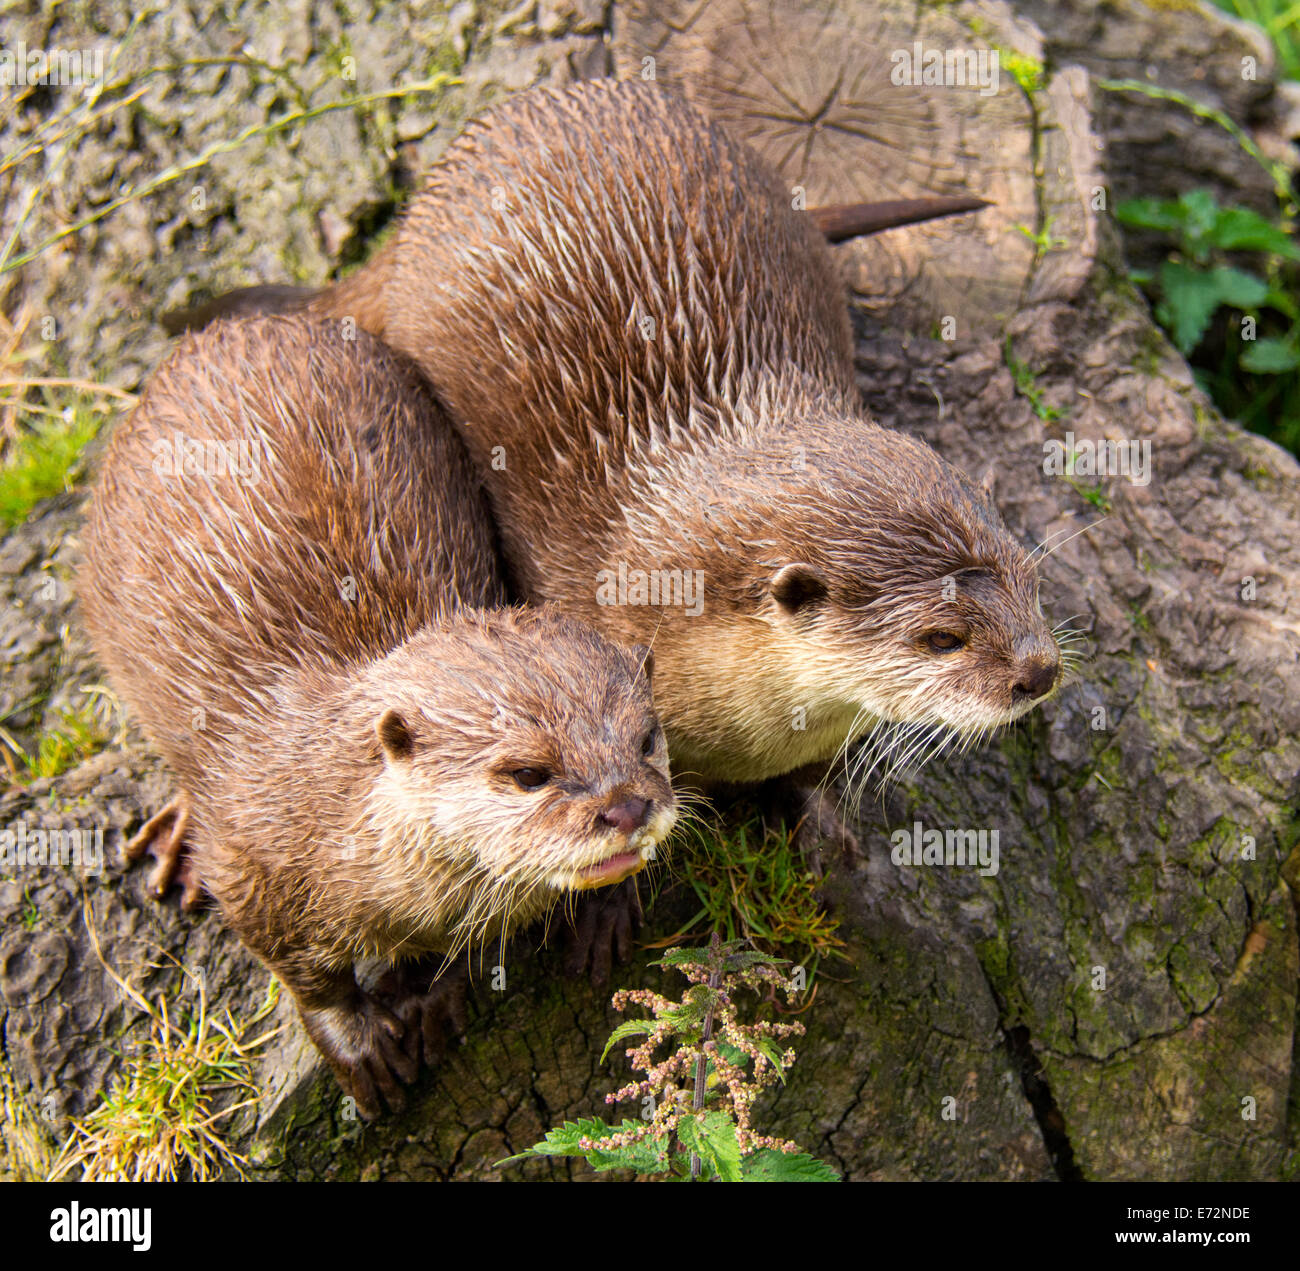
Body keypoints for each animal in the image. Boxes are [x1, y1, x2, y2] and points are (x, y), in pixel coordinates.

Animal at [78, 314, 676, 1116]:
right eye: (528, 773)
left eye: (646, 738)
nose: (627, 806)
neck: (319, 807)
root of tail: (225, 329)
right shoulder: (249, 862)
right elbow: (299, 969)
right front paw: (359, 1038)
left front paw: (430, 989)